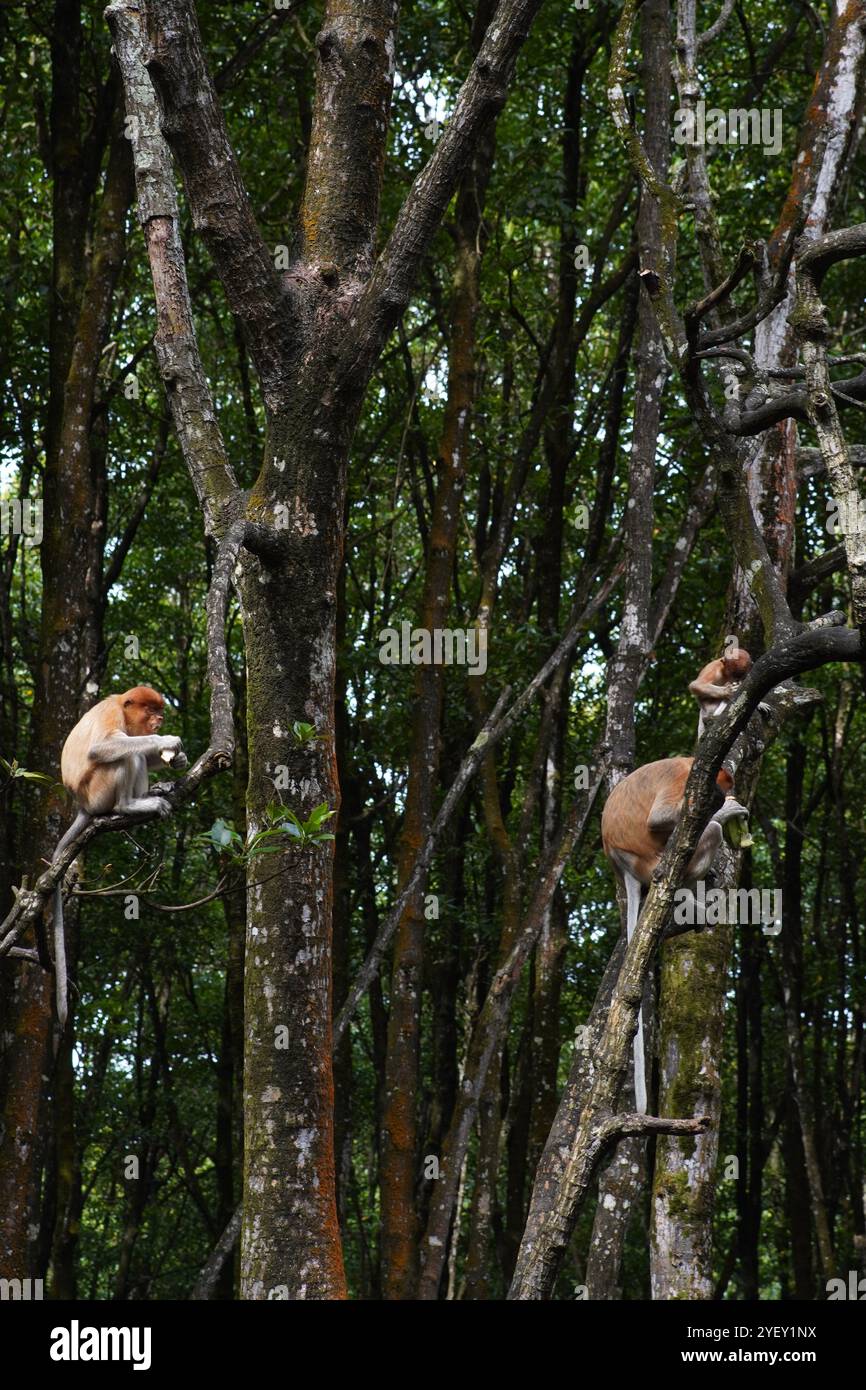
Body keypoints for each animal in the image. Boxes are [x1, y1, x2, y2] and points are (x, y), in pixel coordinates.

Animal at [50, 686, 188, 1027]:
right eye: (151, 711)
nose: (159, 721)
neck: (122, 707)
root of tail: (83, 805)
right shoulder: (112, 715)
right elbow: (102, 747)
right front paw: (167, 741)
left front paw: (178, 760)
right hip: (99, 792)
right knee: (125, 755)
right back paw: (130, 805)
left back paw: (155, 791)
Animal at [601, 757, 749, 1114]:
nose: (725, 795)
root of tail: (622, 862)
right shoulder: (682, 780)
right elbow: (661, 818)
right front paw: (726, 811)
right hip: (655, 857)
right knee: (705, 834)